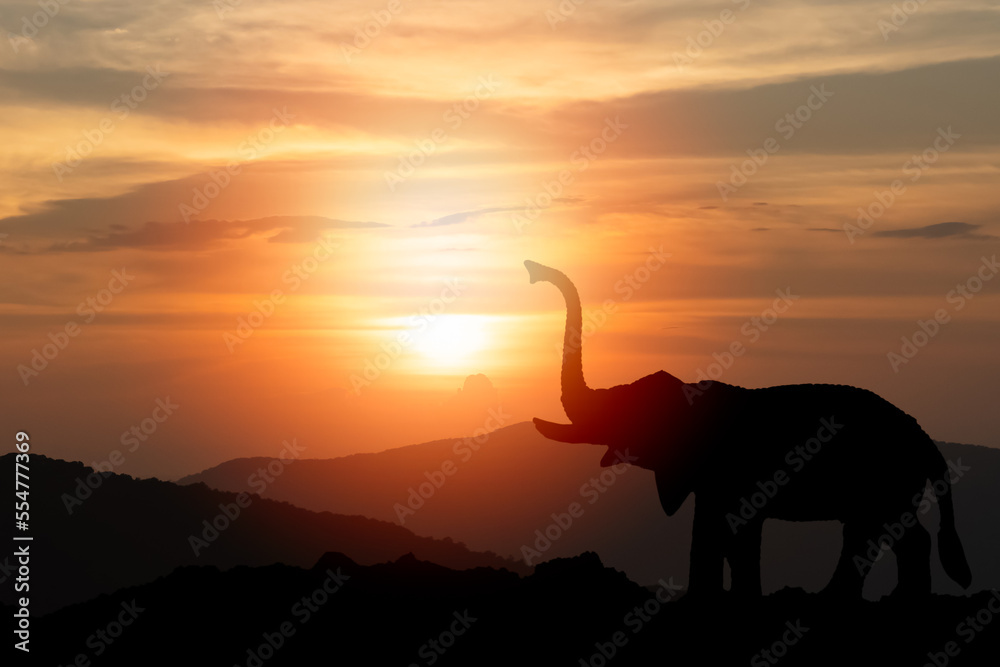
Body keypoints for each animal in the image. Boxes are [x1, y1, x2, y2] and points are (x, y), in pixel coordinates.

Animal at [524, 259, 972, 598]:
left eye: (625, 409)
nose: (532, 270)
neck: (692, 394)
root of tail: (924, 437)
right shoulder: (706, 479)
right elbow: (707, 529)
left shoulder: (736, 473)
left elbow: (737, 532)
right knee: (875, 532)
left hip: (890, 479)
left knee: (891, 532)